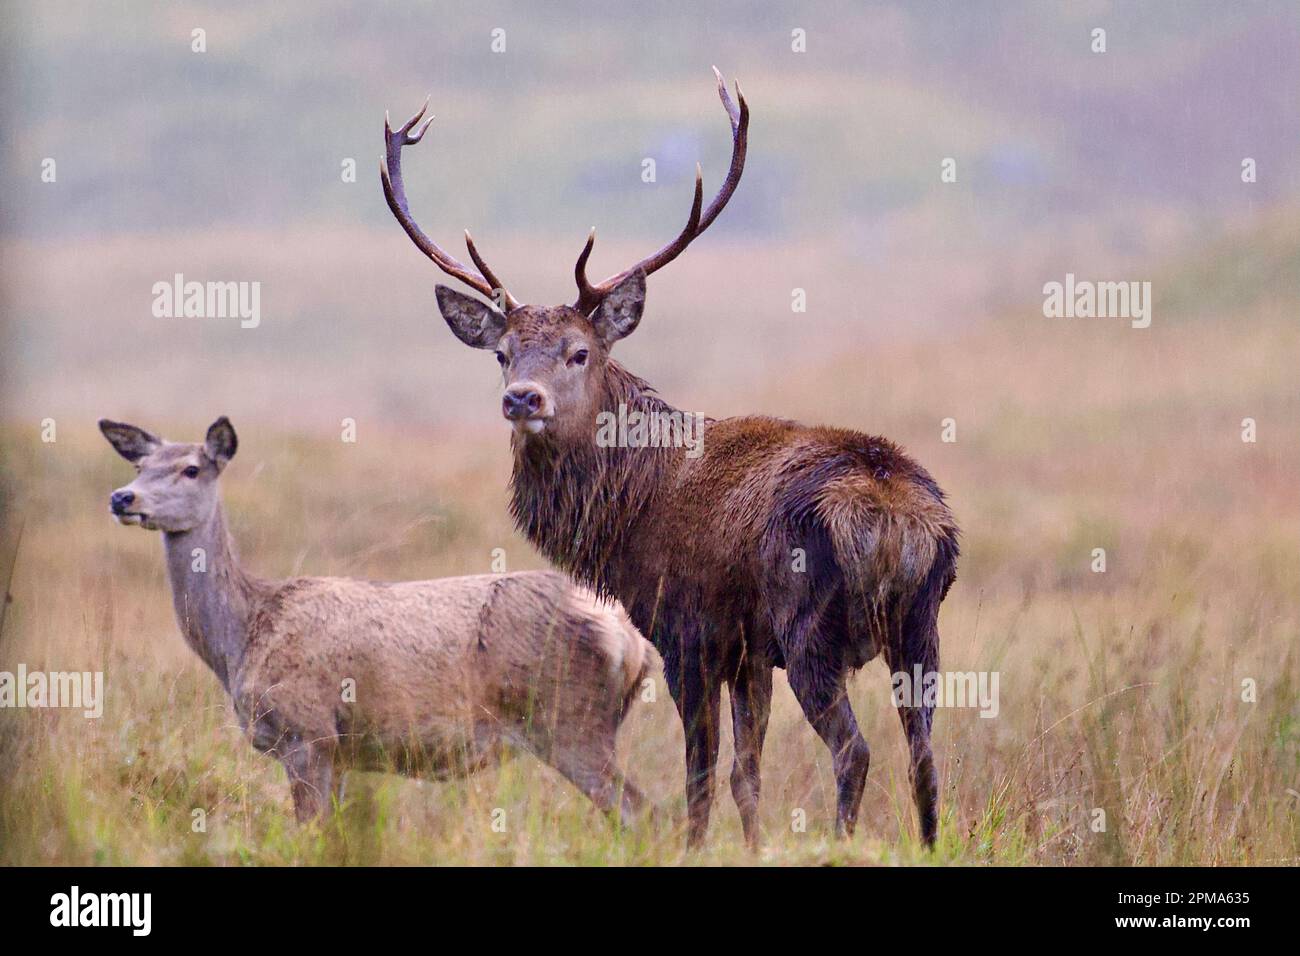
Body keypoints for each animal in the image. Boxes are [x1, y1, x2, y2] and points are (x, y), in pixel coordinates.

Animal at [99, 416, 652, 825]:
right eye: (141, 464)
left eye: (192, 469)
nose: (122, 497)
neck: (242, 636)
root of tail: (630, 640)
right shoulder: (339, 753)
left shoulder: (307, 732)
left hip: (569, 719)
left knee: (642, 813)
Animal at [381, 68, 959, 849]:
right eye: (502, 352)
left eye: (579, 351)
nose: (522, 399)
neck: (629, 511)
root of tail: (900, 518)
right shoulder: (749, 652)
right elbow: (747, 778)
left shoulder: (687, 633)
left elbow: (699, 781)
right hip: (922, 626)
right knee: (925, 758)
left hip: (814, 628)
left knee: (855, 750)